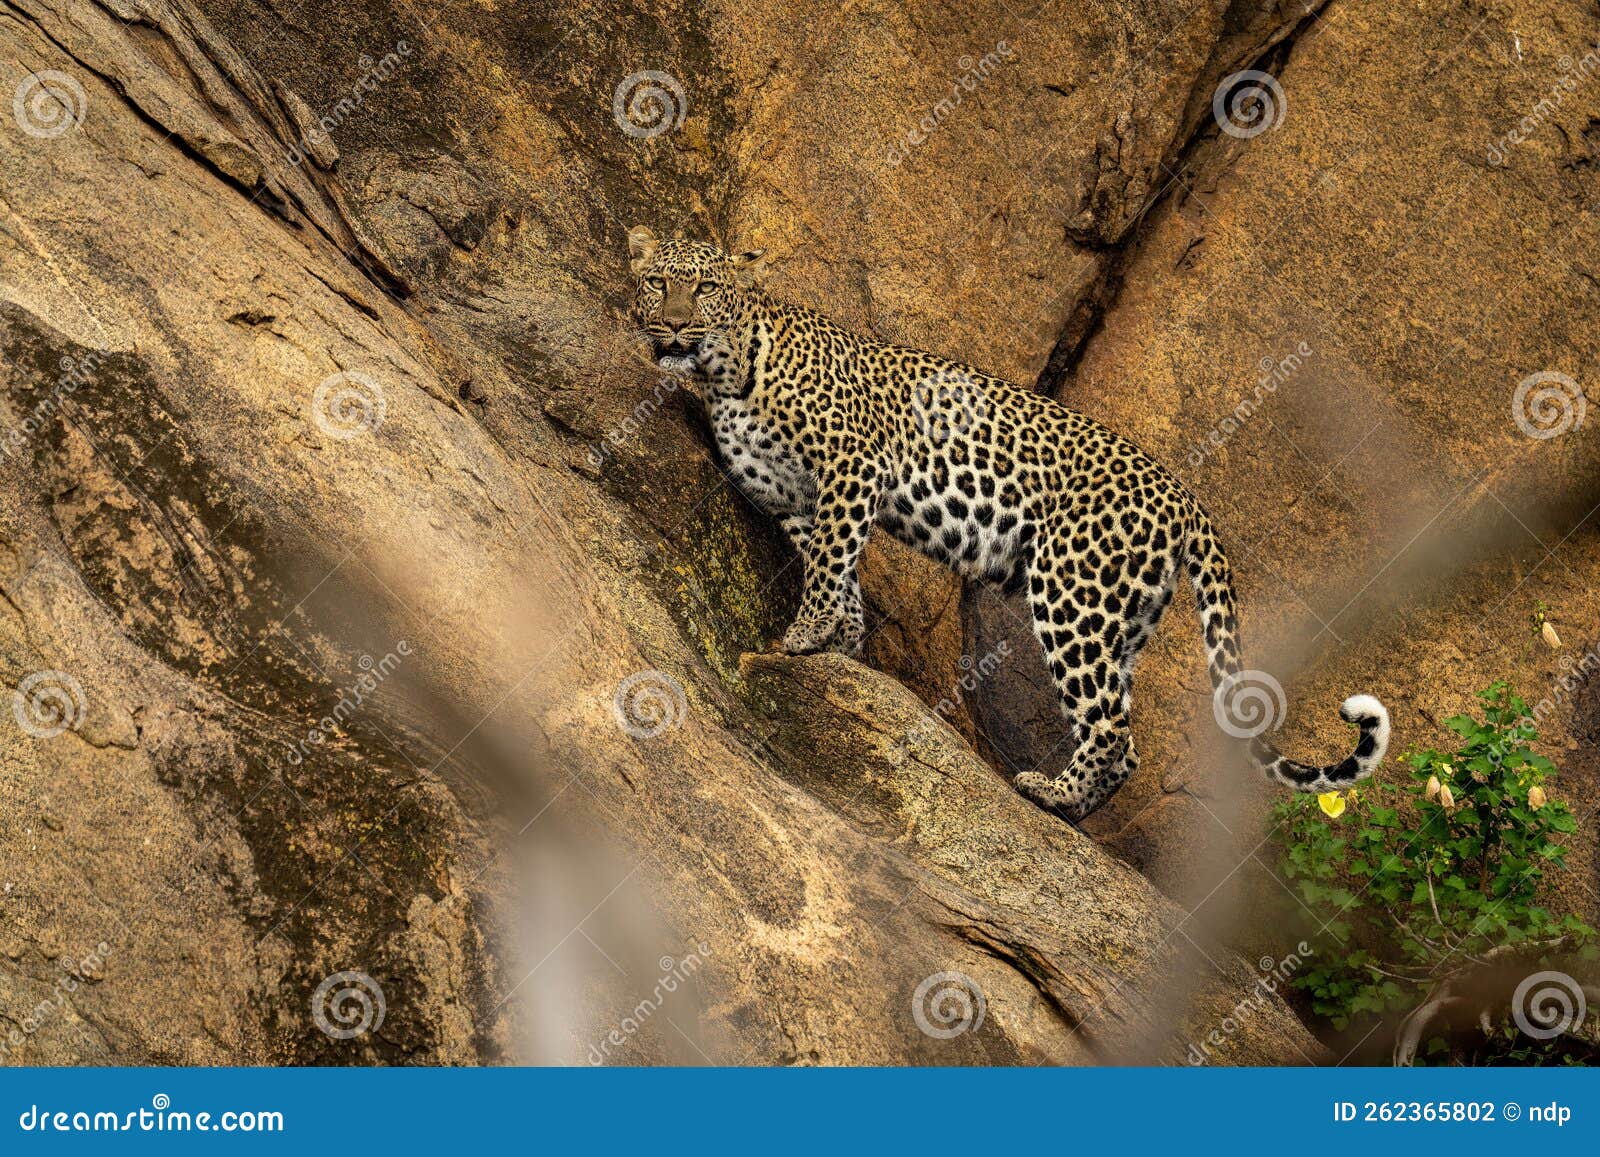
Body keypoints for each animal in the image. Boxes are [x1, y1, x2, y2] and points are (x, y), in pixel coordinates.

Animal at [626, 225, 1390, 820]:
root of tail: (1185, 497)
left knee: (1110, 726)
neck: (726, 373)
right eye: (657, 282)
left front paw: (807, 634)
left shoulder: (855, 467)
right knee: (1126, 737)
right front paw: (844, 636)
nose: (673, 327)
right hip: (1125, 619)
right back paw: (1073, 807)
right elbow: (834, 565)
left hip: (1073, 593)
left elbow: (830, 560)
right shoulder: (793, 500)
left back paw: (1051, 794)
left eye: (703, 289)